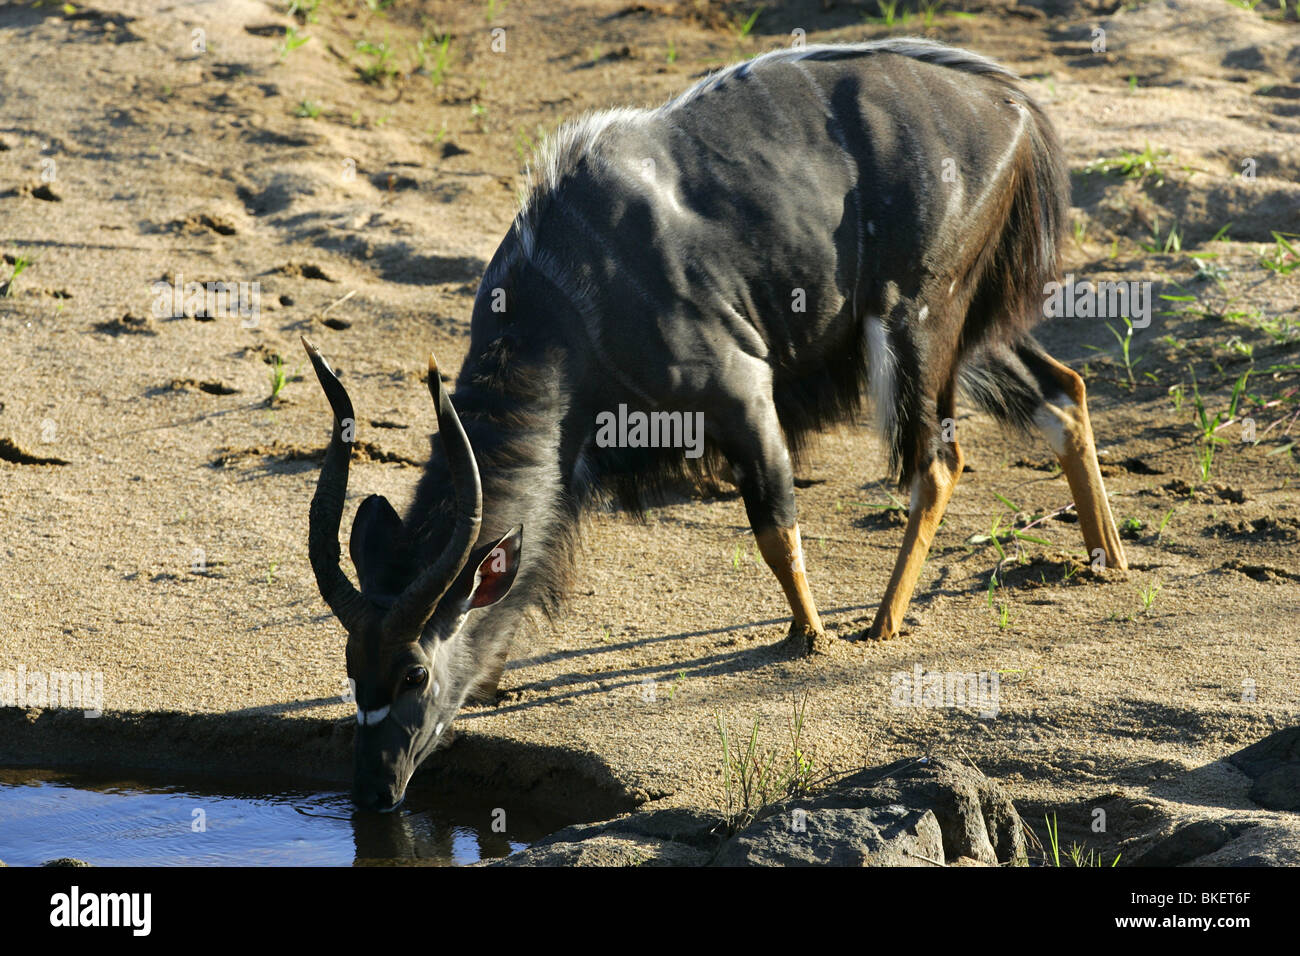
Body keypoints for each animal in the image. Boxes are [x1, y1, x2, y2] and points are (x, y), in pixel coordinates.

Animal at [302, 39, 1128, 811]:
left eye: (414, 672)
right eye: (350, 663)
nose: (373, 791)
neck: (567, 296)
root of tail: (1013, 104)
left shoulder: (743, 389)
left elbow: (774, 526)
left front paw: (810, 638)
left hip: (916, 320)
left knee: (940, 459)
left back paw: (884, 622)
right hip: (971, 333)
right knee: (1065, 394)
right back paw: (1107, 560)